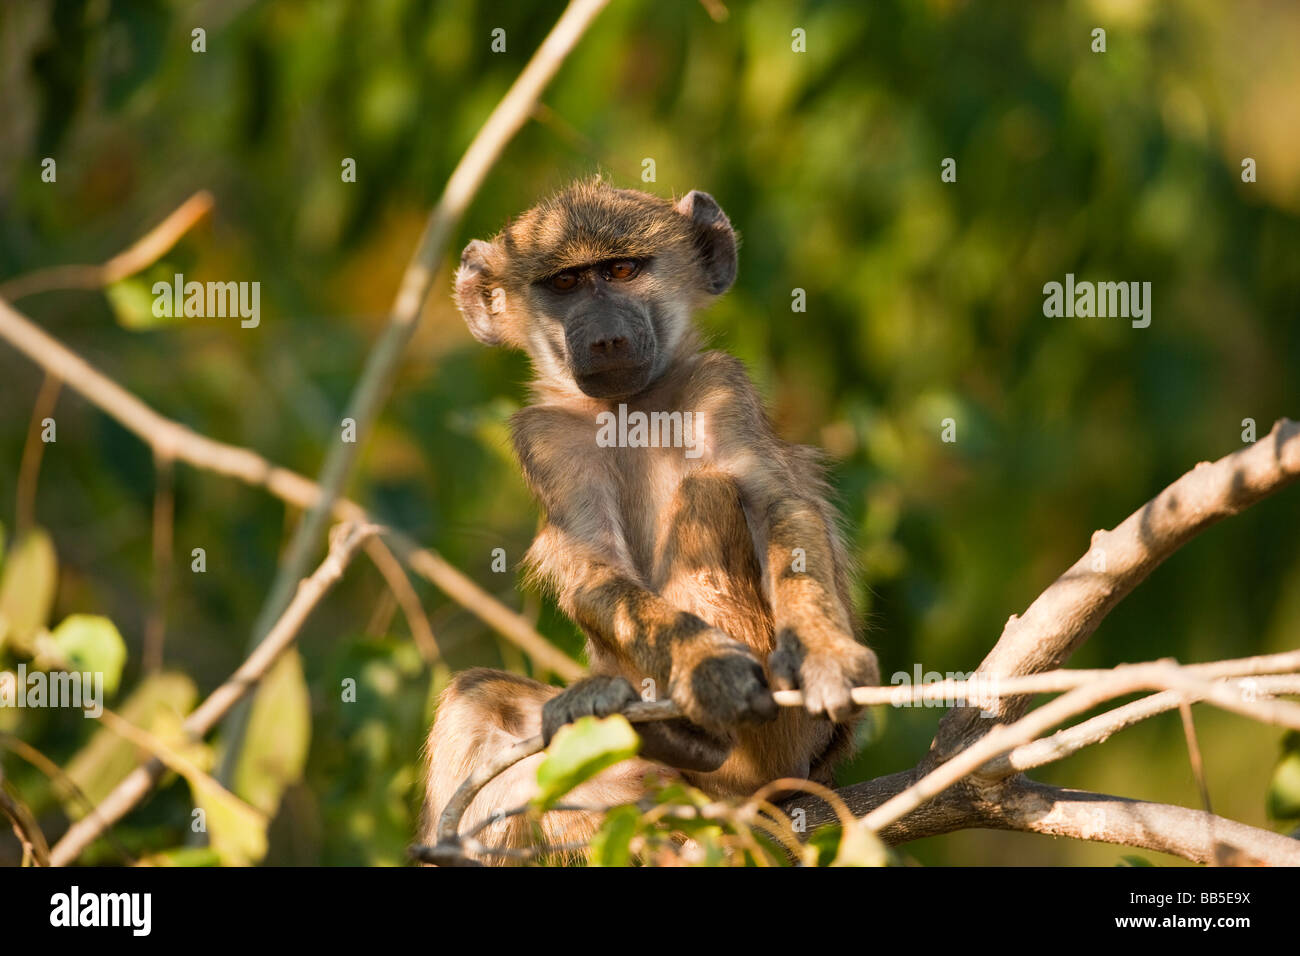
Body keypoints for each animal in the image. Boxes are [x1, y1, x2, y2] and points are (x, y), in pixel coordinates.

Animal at [421, 178, 879, 862]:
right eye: (564, 283)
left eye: (621, 270)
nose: (605, 339)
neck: (630, 409)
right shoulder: (545, 436)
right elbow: (593, 570)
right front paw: (707, 665)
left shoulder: (719, 383)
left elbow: (777, 504)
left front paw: (823, 652)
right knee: (472, 700)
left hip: (781, 745)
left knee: (708, 491)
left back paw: (706, 740)